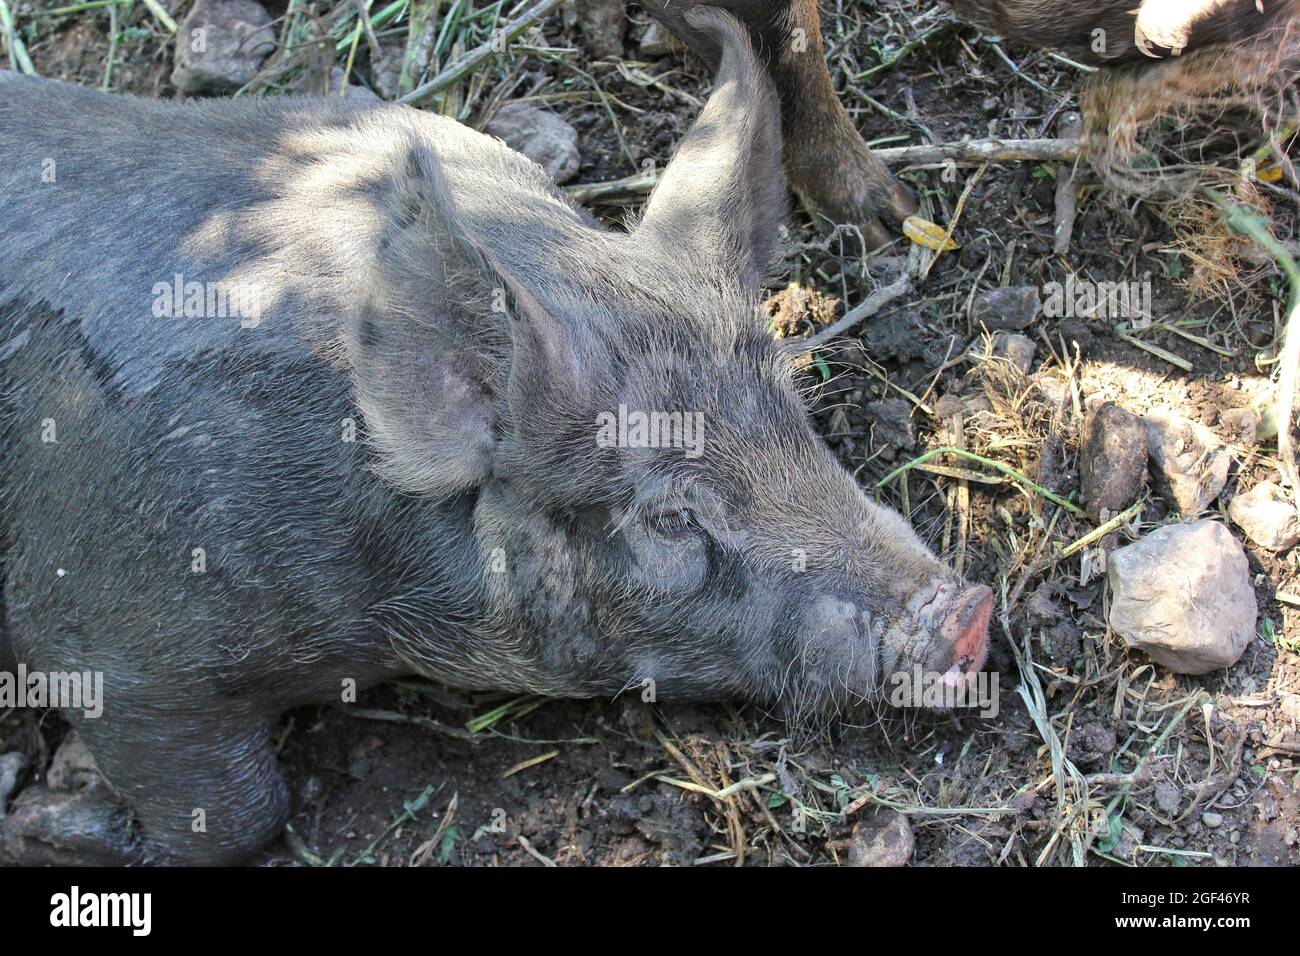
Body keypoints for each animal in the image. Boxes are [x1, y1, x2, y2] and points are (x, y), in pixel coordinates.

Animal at [0, 9, 993, 865]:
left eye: (795, 417)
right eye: (671, 516)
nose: (969, 612)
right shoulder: (123, 652)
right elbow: (238, 815)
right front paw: (38, 825)